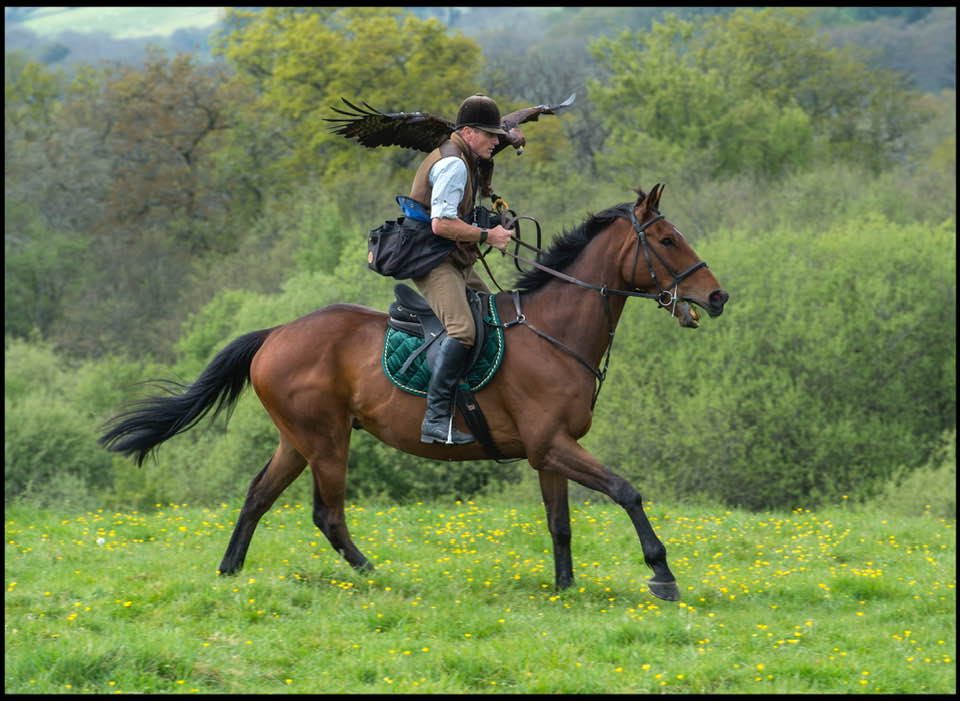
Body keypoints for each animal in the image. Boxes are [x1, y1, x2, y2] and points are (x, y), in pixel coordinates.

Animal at [99, 183, 728, 601]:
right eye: (667, 240)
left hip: (296, 440)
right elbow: (627, 491)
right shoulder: (552, 445)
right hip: (326, 441)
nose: (718, 297)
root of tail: (275, 333)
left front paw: (566, 588)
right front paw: (662, 573)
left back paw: (230, 572)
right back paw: (375, 574)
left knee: (258, 495)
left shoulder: (549, 451)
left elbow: (561, 523)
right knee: (327, 513)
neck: (555, 332)